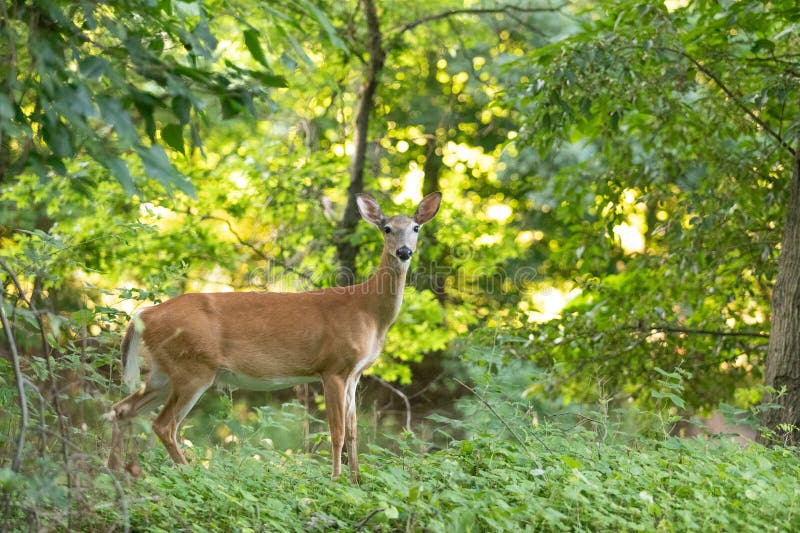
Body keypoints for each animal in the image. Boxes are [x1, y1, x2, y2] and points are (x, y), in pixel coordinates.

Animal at [106, 191, 442, 480]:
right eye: (387, 228)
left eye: (415, 227)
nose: (404, 251)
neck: (367, 310)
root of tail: (143, 315)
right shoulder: (333, 367)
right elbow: (337, 431)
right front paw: (336, 480)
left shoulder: (355, 373)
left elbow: (355, 429)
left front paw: (357, 481)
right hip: (193, 367)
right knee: (164, 425)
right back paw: (191, 473)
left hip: (164, 372)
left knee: (121, 409)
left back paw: (114, 472)